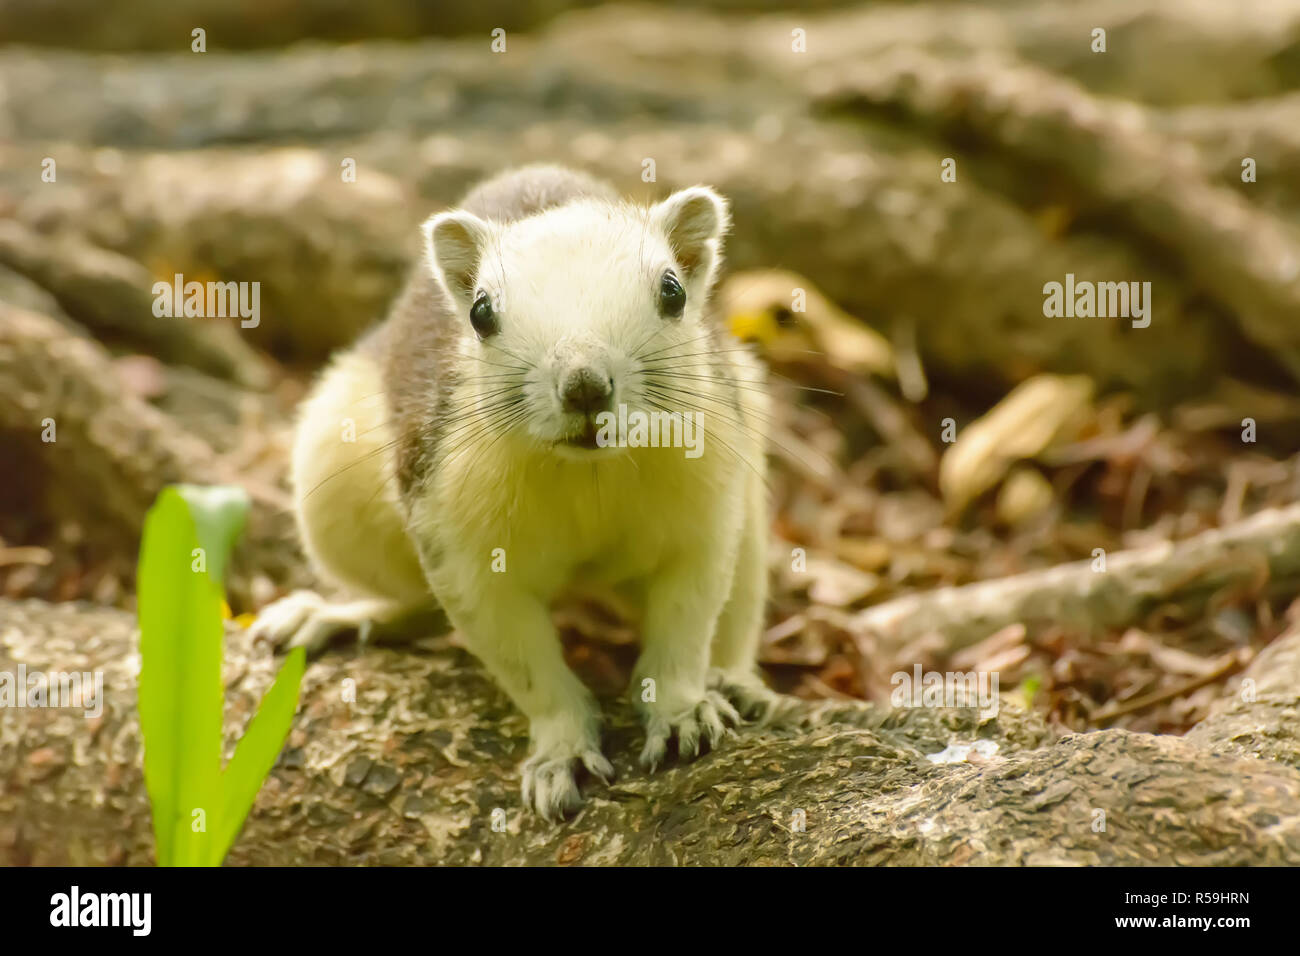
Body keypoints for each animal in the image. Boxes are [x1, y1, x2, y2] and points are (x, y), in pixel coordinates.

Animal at [252, 165, 776, 818]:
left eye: (674, 292)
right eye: (481, 313)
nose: (584, 385)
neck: (586, 474)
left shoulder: (704, 512)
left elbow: (686, 624)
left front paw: (682, 713)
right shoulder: (456, 537)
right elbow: (524, 663)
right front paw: (562, 753)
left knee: (737, 618)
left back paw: (738, 683)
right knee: (415, 604)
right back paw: (336, 615)